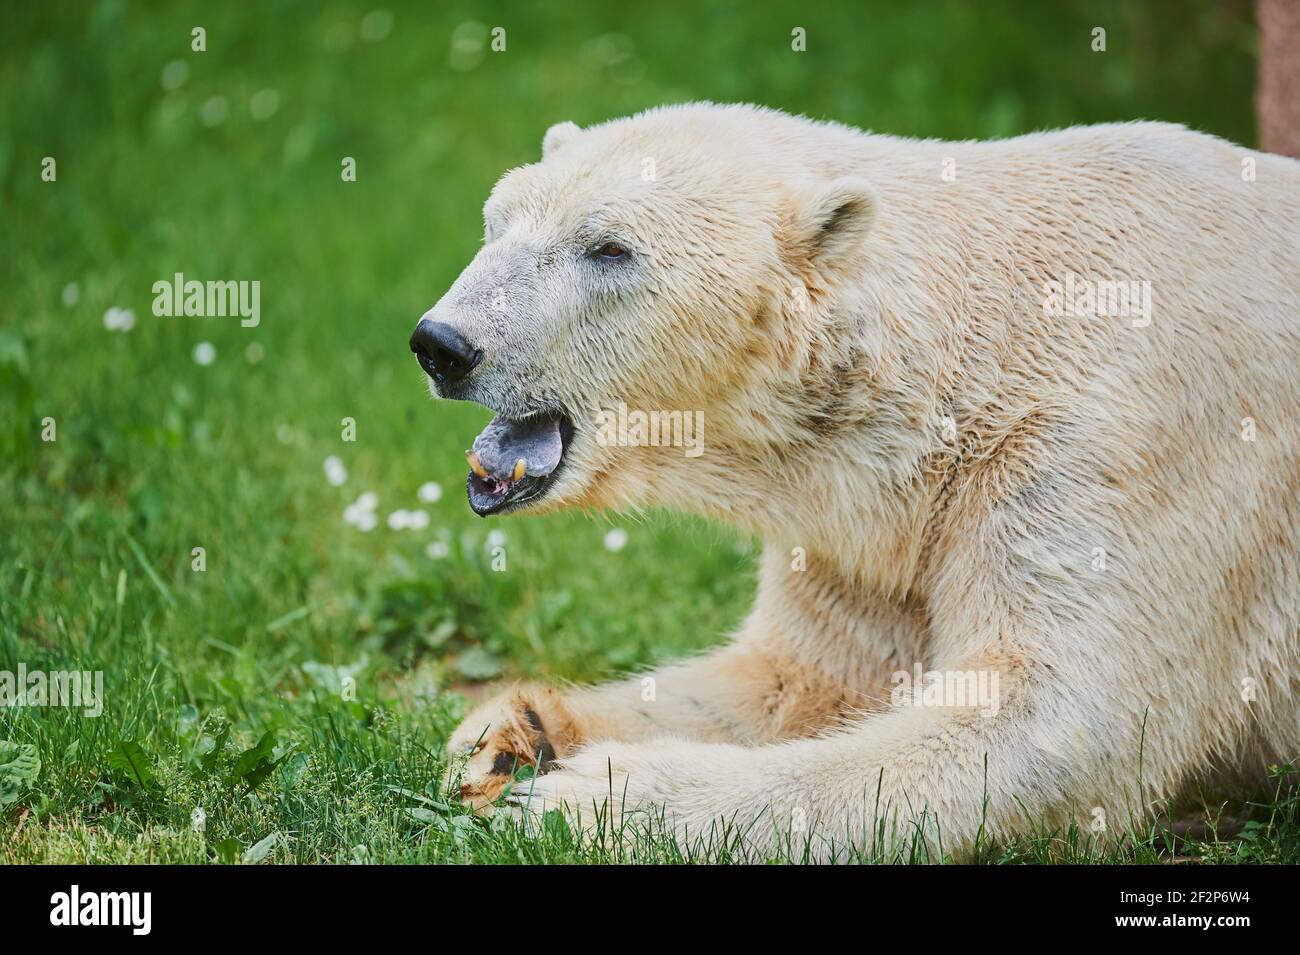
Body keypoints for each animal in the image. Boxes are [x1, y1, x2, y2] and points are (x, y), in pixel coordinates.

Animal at [409, 102, 1300, 860]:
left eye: (608, 248)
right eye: (497, 218)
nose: (443, 343)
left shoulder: (1117, 441)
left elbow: (1060, 721)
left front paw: (590, 801)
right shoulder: (865, 529)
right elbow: (801, 678)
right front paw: (509, 735)